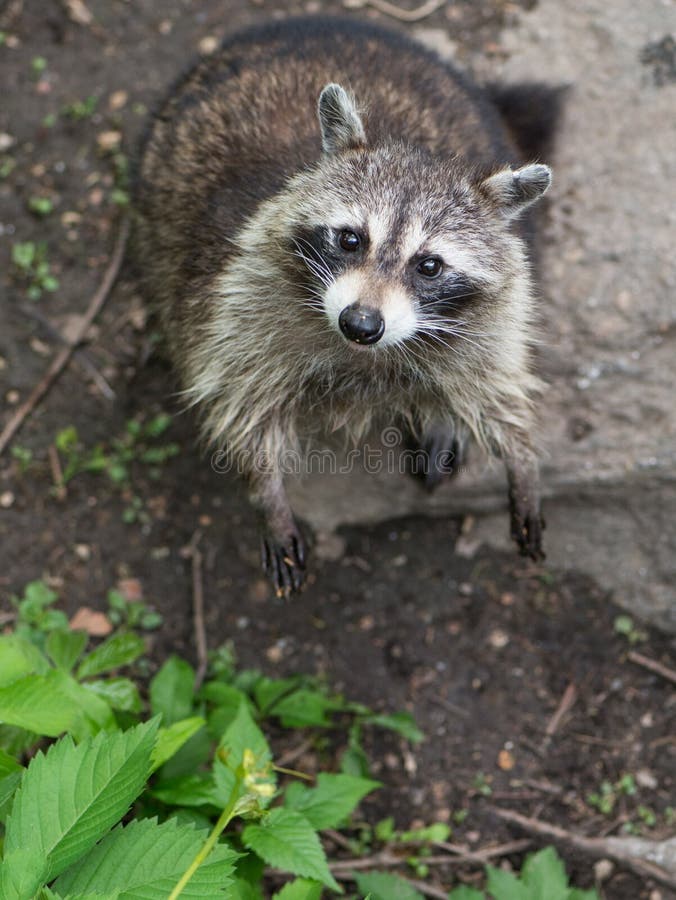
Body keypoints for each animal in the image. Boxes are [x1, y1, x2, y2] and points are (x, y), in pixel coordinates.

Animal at [133, 17, 555, 597]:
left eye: (429, 265)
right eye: (351, 239)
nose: (361, 324)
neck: (363, 356)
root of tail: (315, 22)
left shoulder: (490, 311)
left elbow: (495, 382)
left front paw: (521, 455)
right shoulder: (235, 302)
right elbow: (241, 401)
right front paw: (267, 493)